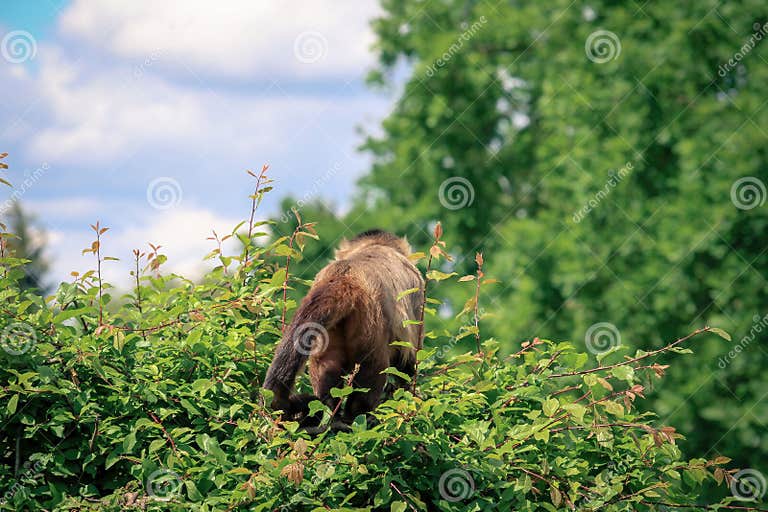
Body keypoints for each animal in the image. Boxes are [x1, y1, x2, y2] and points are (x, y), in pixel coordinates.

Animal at [262, 229, 424, 426]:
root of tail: (345, 276)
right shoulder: (418, 284)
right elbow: (409, 360)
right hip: (369, 326)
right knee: (373, 370)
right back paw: (355, 418)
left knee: (327, 370)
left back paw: (329, 413)